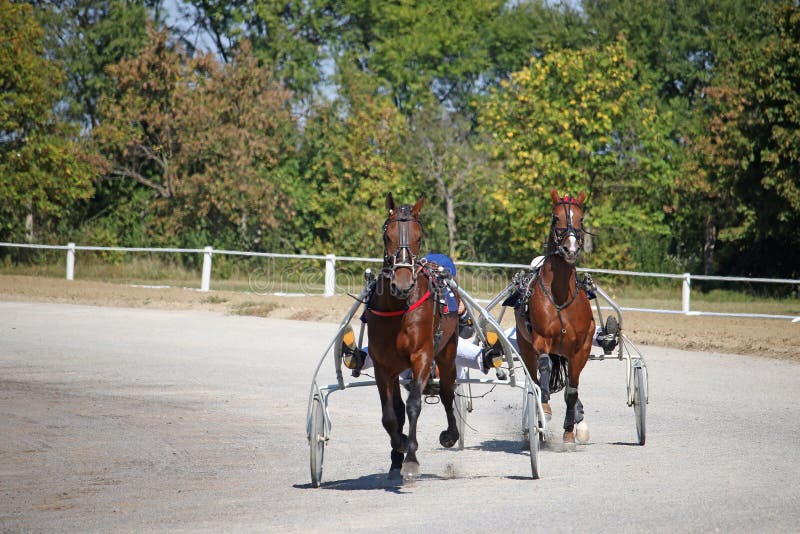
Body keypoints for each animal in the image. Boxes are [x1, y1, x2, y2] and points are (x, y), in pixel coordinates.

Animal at [365, 193, 460, 479]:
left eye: (419, 236)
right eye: (387, 235)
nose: (403, 284)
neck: (398, 307)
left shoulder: (422, 356)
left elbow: (414, 405)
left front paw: (411, 458)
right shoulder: (383, 365)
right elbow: (390, 415)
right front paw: (400, 446)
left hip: (448, 352)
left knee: (448, 392)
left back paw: (451, 434)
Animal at [514, 189, 595, 449]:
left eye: (581, 218)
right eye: (555, 217)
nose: (570, 249)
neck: (560, 295)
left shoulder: (580, 349)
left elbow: (572, 390)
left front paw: (569, 433)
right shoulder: (541, 340)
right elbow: (544, 368)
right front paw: (546, 410)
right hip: (525, 346)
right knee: (536, 378)